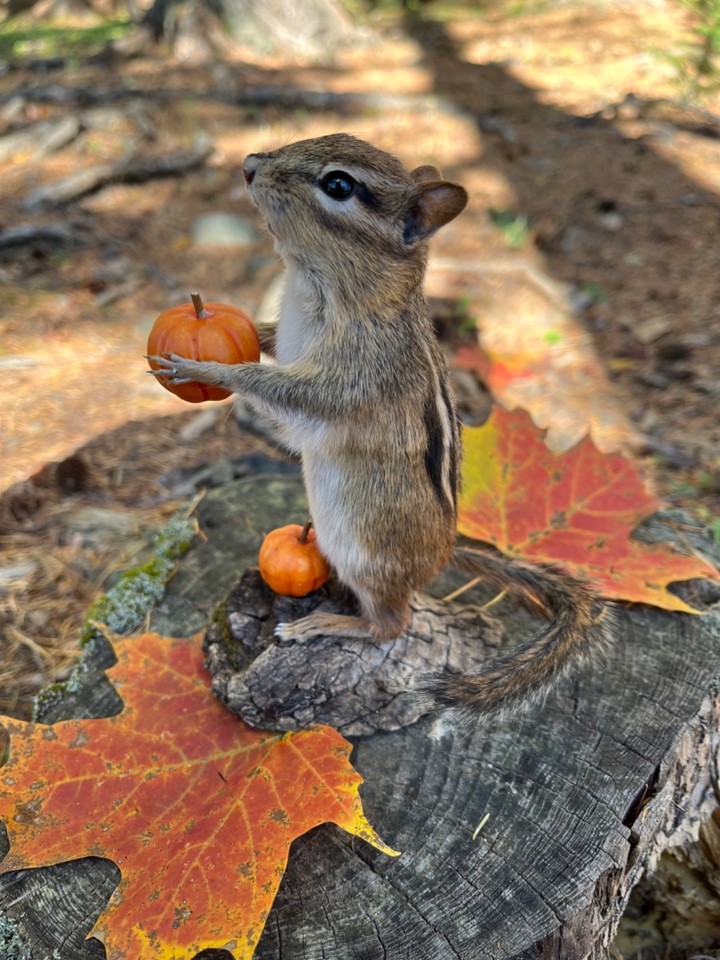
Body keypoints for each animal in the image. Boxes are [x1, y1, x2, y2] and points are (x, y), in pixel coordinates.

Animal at [150, 133, 611, 718]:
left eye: (339, 185)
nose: (249, 166)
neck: (311, 285)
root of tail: (441, 556)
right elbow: (265, 339)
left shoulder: (354, 376)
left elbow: (281, 389)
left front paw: (205, 370)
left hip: (367, 557)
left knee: (392, 625)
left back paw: (326, 624)